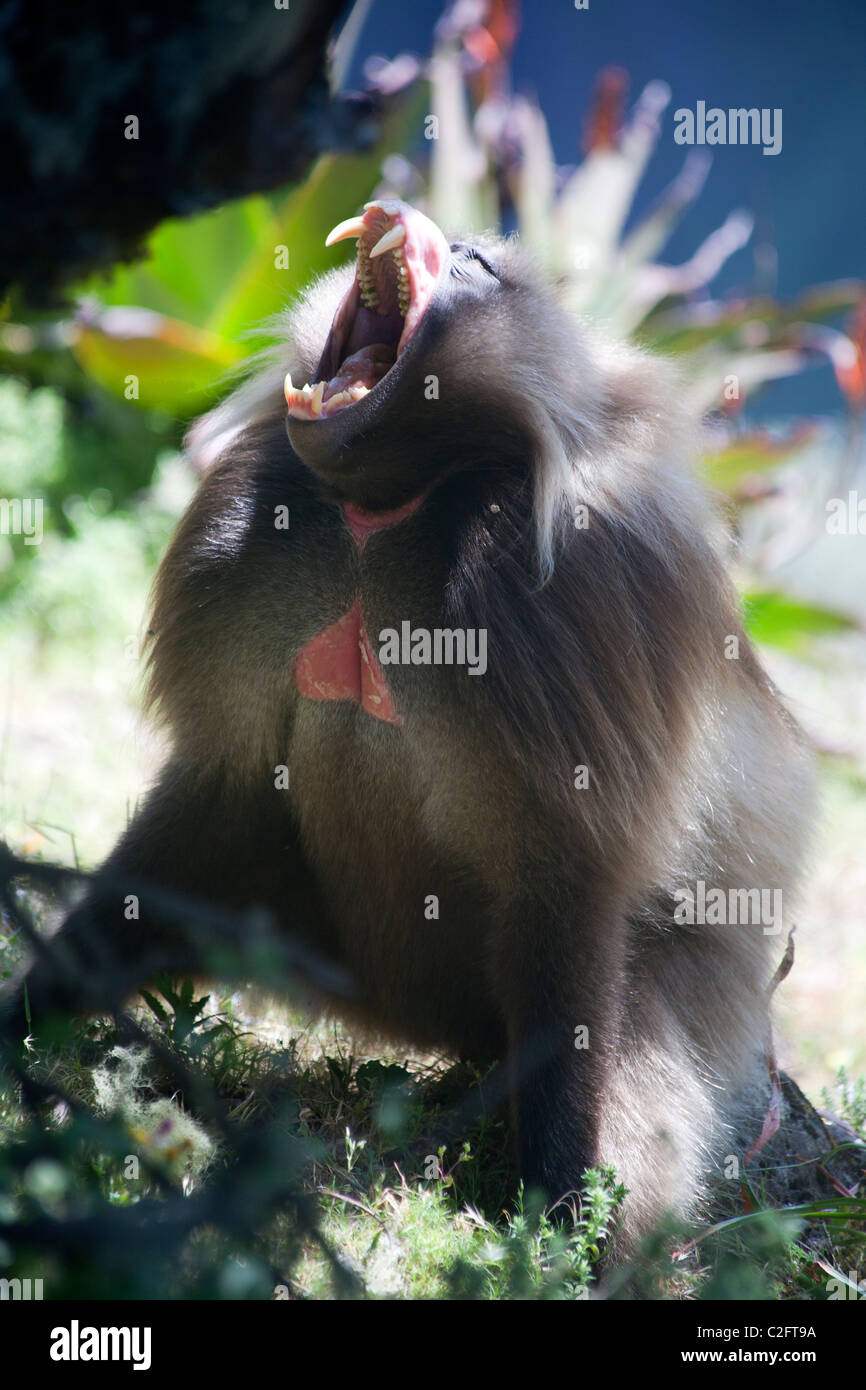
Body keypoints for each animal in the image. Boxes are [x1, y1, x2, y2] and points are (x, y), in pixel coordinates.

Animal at [4, 197, 814, 1252]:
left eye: (478, 264)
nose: (405, 211)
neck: (382, 513)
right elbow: (219, 793)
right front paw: (28, 1015)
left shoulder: (582, 595)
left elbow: (571, 883)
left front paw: (555, 1223)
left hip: (701, 1002)